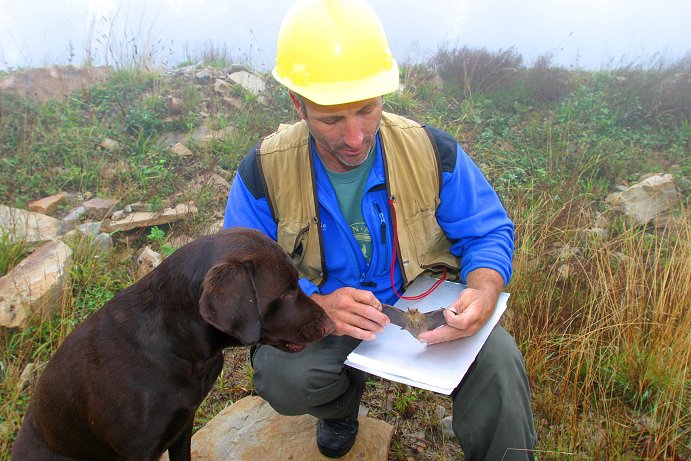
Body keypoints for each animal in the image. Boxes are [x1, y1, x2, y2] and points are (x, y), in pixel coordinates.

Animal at [10, 227, 336, 460]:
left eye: (297, 280)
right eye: (285, 292)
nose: (331, 324)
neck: (174, 347)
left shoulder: (183, 424)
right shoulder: (140, 451)